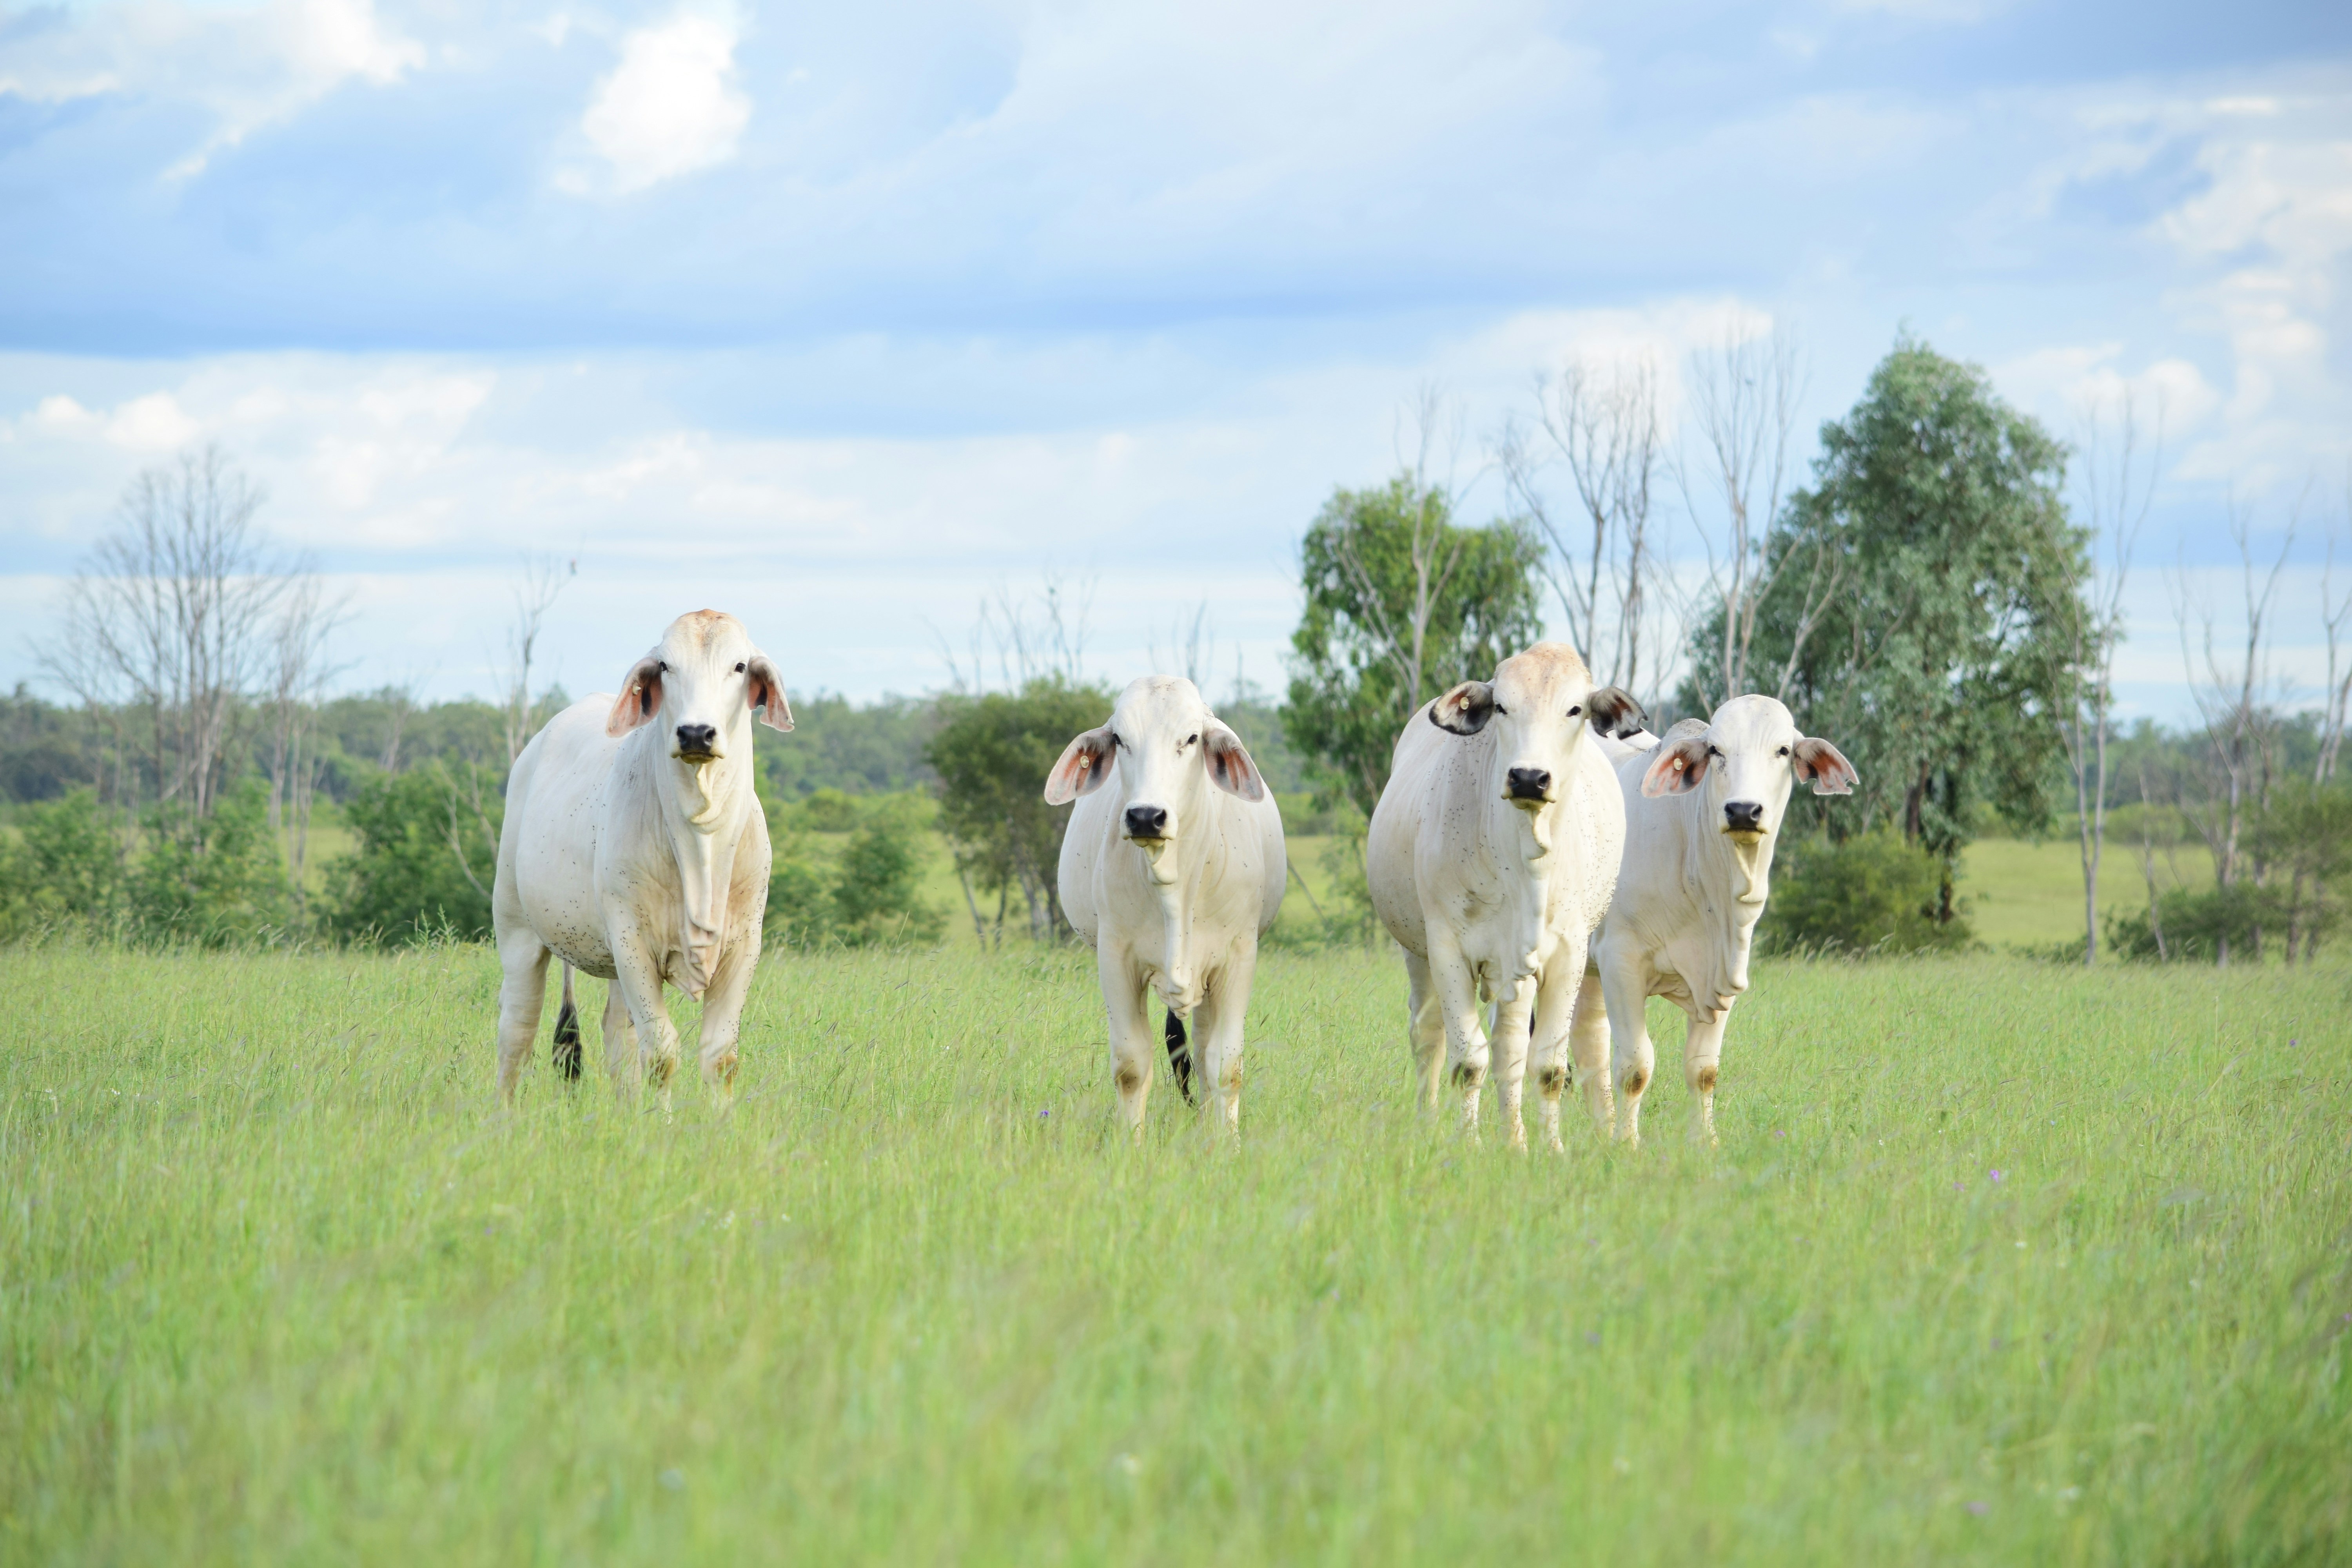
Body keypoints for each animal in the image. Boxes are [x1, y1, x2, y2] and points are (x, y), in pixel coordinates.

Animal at [491, 609, 793, 1106]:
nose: (695, 732)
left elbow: (720, 1057)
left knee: (617, 1034)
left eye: (739, 666)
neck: (701, 842)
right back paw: (503, 1115)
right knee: (517, 1031)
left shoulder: (744, 945)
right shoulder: (633, 943)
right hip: (519, 931)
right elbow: (663, 1054)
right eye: (667, 665)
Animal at [1047, 676, 1285, 1135]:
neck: (1174, 884)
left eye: (1191, 739)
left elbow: (1226, 1067)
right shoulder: (1116, 958)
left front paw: (1226, 1144)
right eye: (1121, 739)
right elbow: (1131, 1066)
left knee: (1208, 1057)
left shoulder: (1238, 958)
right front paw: (1129, 1143)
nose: (1145, 816)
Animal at [1365, 642, 1643, 1148]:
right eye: (1501, 707)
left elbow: (1547, 1067)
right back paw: (1432, 1123)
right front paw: (1469, 1142)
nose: (1529, 778)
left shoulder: (1567, 954)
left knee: (1509, 1045)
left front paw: (1547, 1148)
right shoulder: (1447, 949)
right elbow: (1467, 1061)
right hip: (1417, 951)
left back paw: (1514, 1136)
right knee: (1429, 1036)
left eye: (1575, 709)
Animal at [1561, 694, 1858, 1149]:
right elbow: (1636, 1067)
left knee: (1589, 1040)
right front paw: (1628, 1145)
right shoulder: (1621, 962)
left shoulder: (1724, 972)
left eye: (1783, 751)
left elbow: (1703, 1070)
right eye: (1716, 750)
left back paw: (1599, 1130)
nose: (1743, 810)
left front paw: (1705, 1144)